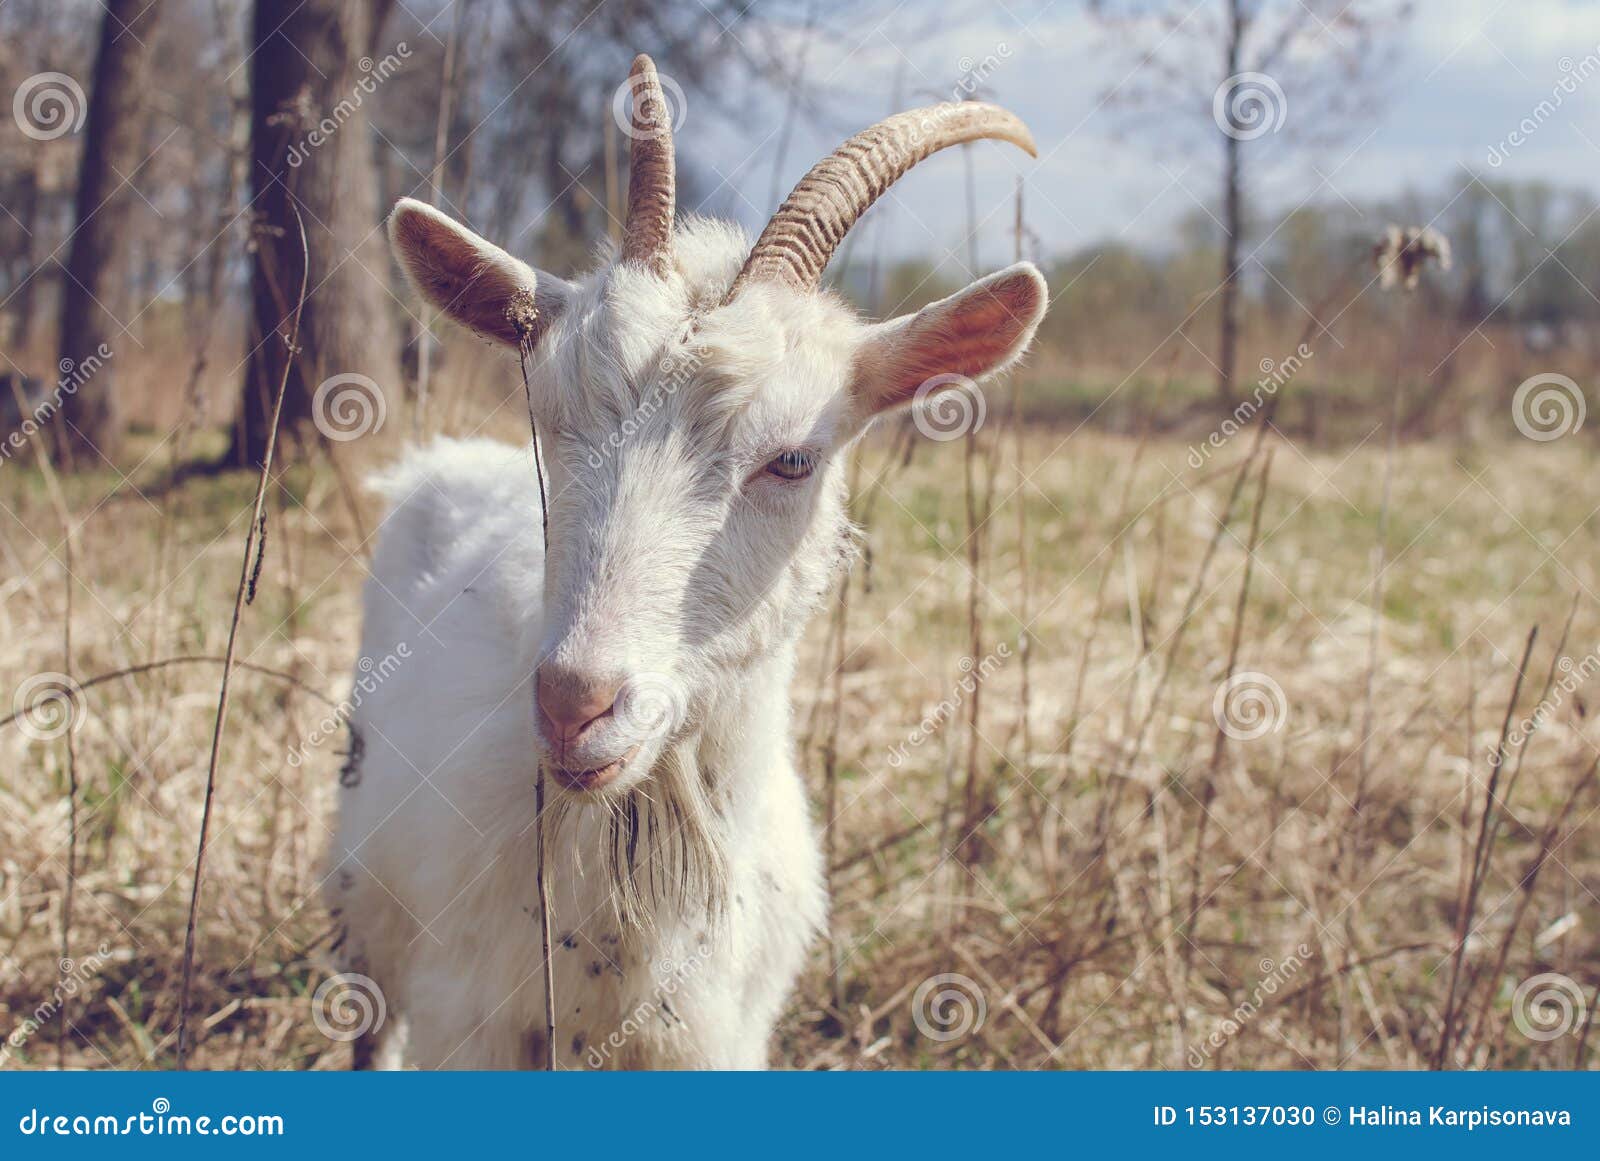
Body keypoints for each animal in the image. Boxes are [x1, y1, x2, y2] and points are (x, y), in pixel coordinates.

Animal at [324, 54, 1047, 1069]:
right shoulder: (469, 1018)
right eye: (550, 419)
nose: (573, 706)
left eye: (794, 458)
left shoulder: (718, 1037)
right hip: (366, 903)